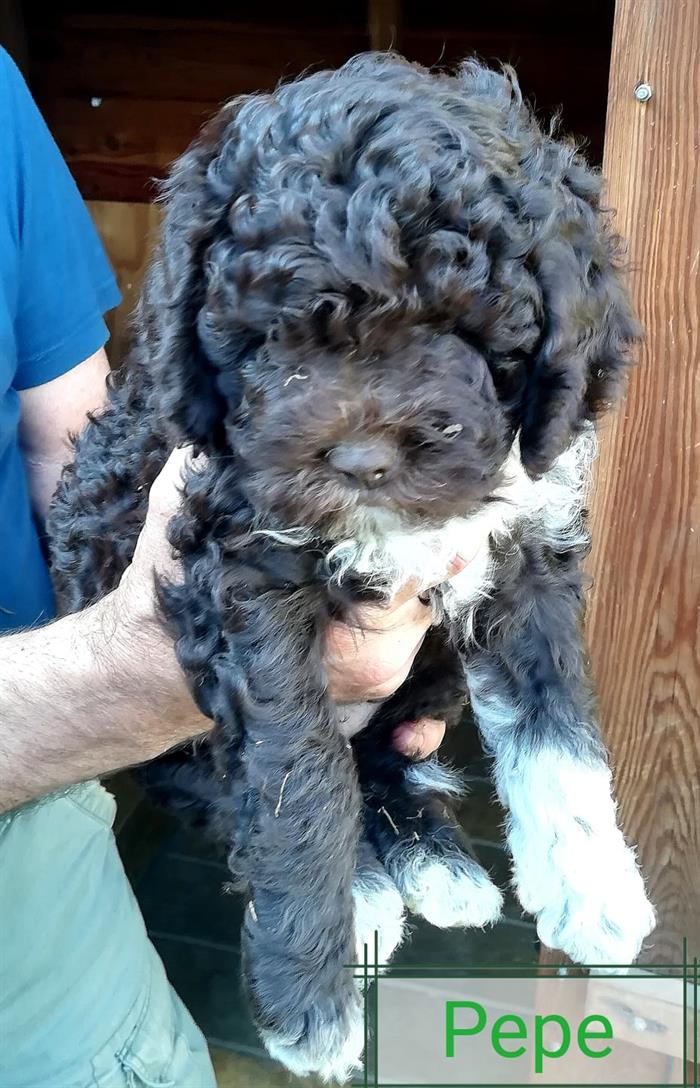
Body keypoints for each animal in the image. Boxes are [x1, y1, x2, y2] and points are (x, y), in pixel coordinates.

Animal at [50, 55, 657, 1083]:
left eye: (462, 326)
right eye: (270, 337)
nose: (363, 460)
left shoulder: (525, 551)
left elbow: (556, 726)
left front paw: (593, 886)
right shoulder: (244, 565)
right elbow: (297, 774)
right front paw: (308, 996)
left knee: (383, 760)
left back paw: (433, 867)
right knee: (252, 788)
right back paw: (364, 896)